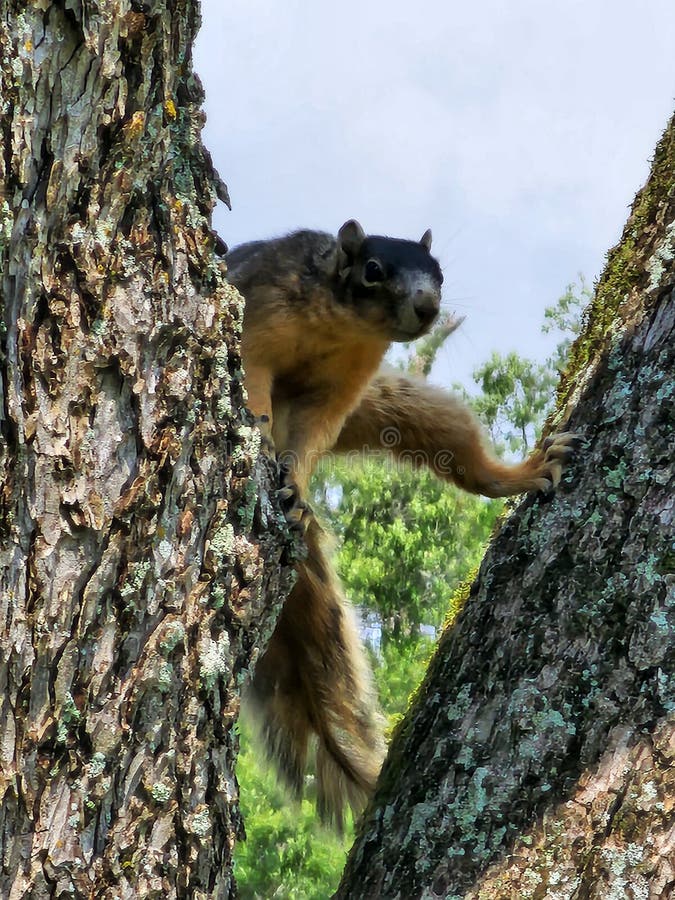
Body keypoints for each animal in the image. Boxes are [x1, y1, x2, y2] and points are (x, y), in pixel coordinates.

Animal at [225, 220, 578, 829]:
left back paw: (516, 475)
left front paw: (295, 479)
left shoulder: (343, 387)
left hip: (398, 403)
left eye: (439, 274)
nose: (428, 306)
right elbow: (251, 383)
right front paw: (262, 437)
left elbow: (312, 433)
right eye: (373, 270)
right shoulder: (260, 313)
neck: (342, 327)